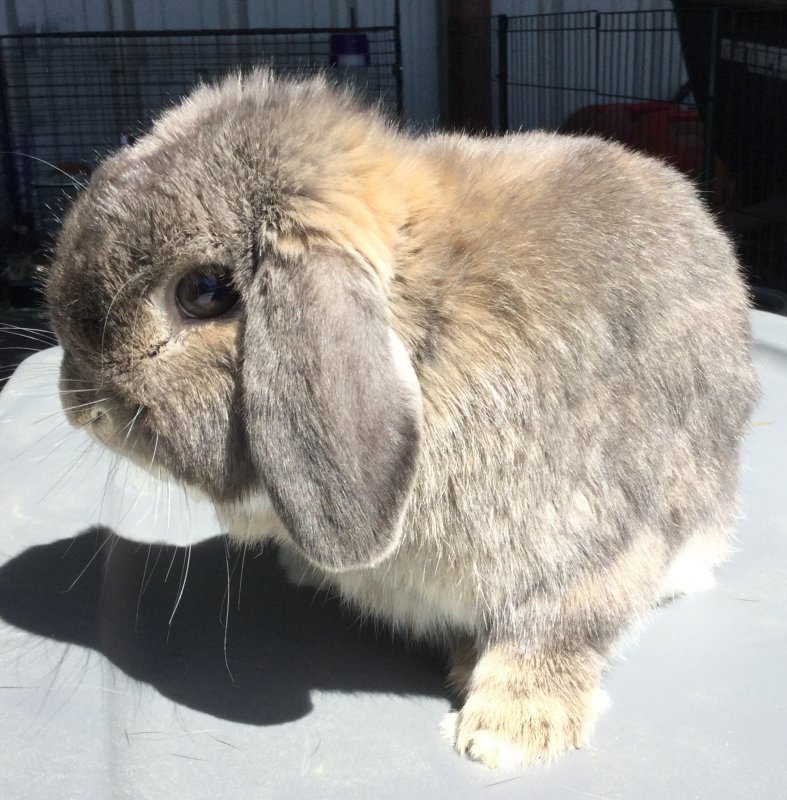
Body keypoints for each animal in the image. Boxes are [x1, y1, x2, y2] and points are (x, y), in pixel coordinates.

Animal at [45, 70, 758, 769]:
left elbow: (553, 635)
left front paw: (505, 735)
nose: (80, 404)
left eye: (203, 292)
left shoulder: (590, 550)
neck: (425, 320)